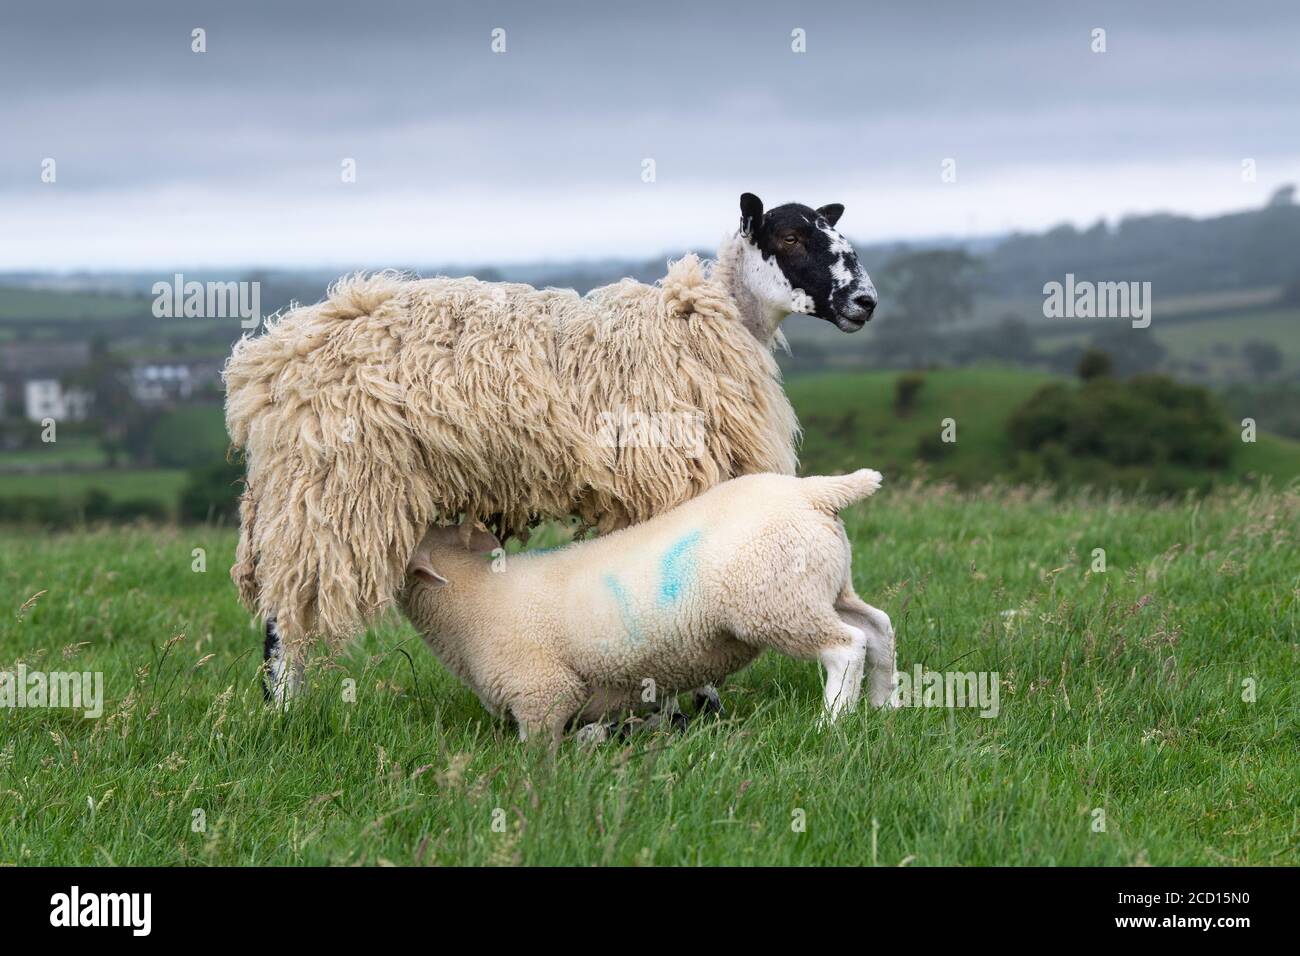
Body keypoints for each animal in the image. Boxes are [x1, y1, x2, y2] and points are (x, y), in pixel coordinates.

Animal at [223, 193, 879, 693]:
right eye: (789, 237)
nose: (865, 302)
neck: (717, 324)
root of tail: (268, 364)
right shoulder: (669, 482)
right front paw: (691, 701)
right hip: (333, 485)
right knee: (285, 618)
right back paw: (285, 711)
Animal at [399, 469, 896, 744]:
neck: (471, 593)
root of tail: (813, 493)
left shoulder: (542, 690)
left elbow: (537, 746)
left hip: (776, 602)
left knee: (846, 646)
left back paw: (832, 721)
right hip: (823, 589)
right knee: (878, 628)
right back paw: (883, 704)